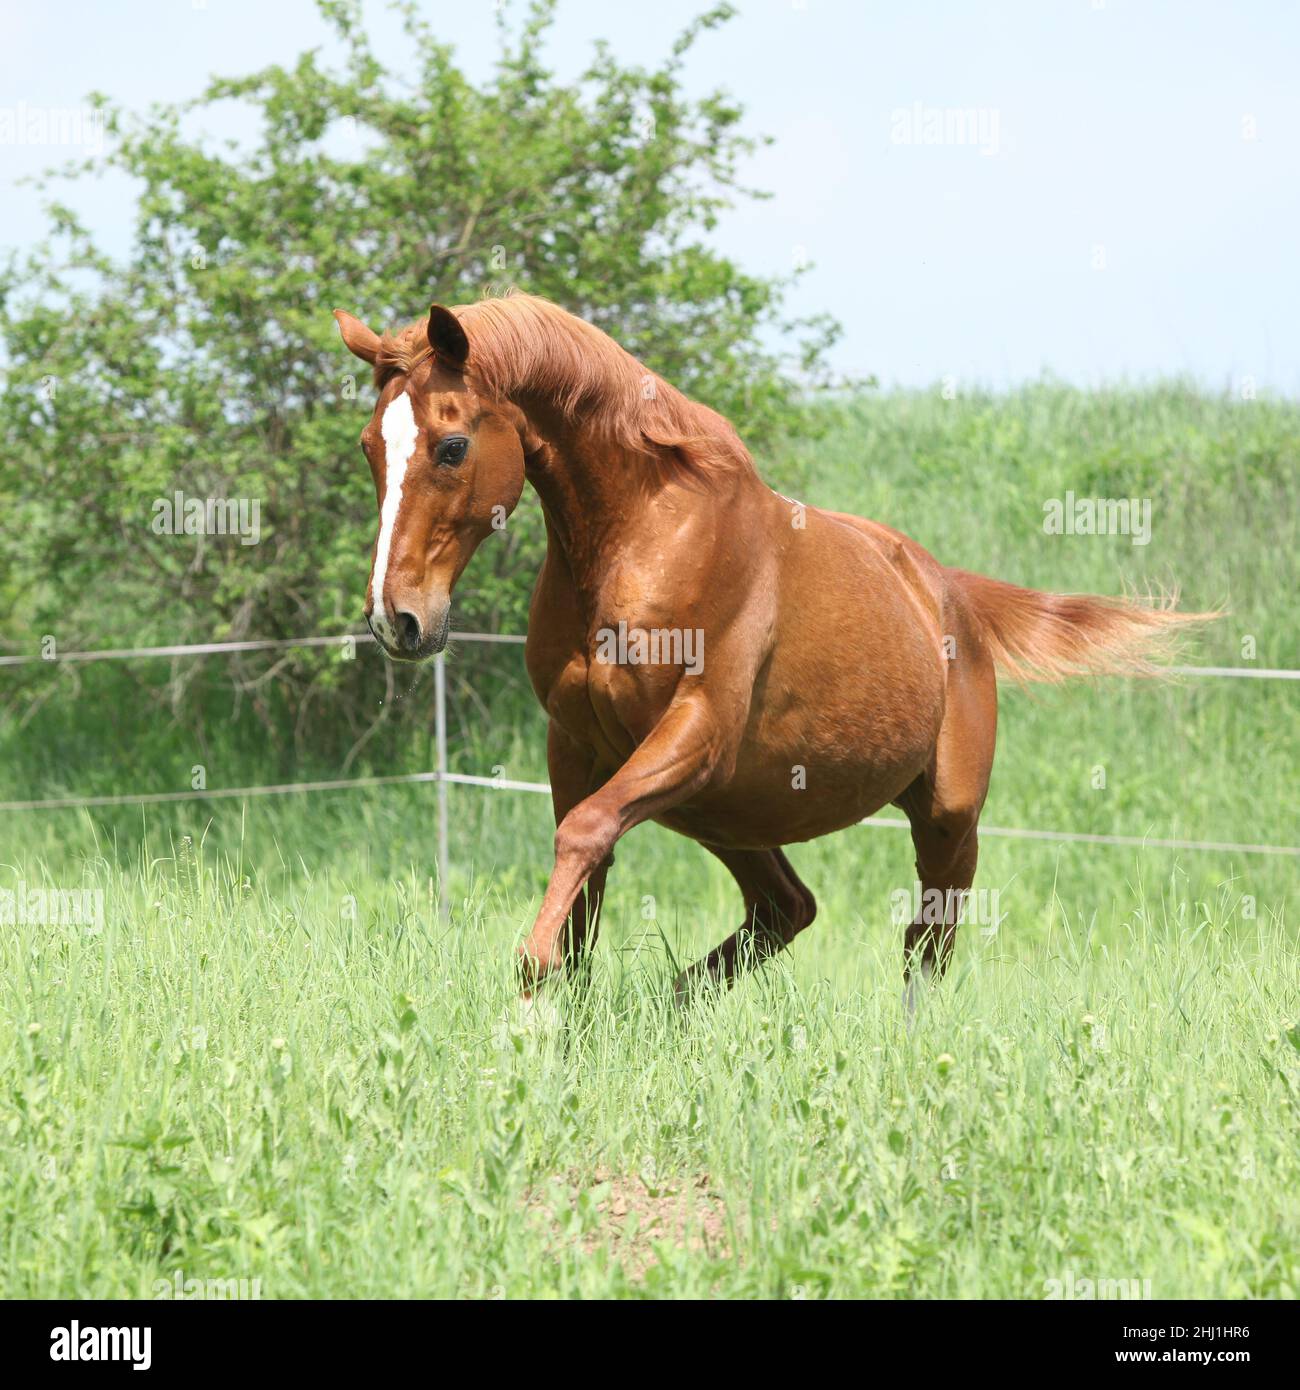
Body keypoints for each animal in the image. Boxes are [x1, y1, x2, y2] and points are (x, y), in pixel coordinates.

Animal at [334, 292, 1210, 1000]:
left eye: (451, 447)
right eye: (372, 448)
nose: (395, 619)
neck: (640, 541)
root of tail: (949, 591)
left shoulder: (698, 730)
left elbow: (582, 835)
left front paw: (531, 990)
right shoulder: (579, 745)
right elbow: (588, 872)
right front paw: (564, 1013)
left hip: (941, 818)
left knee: (925, 944)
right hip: (724, 812)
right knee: (787, 909)